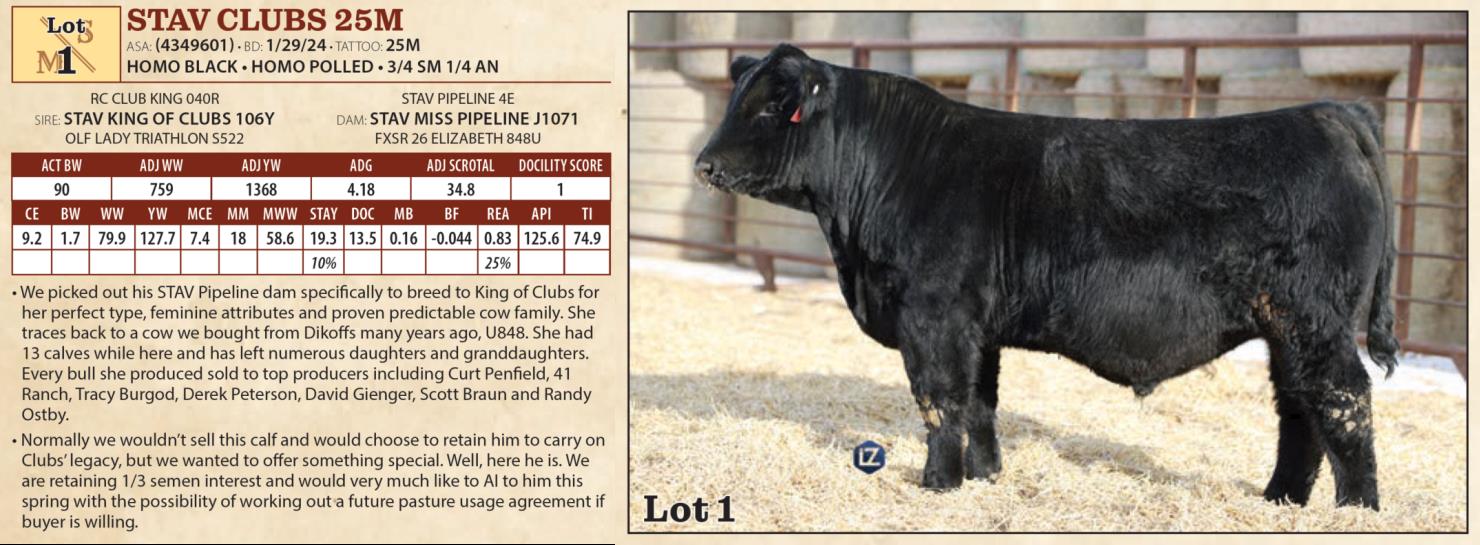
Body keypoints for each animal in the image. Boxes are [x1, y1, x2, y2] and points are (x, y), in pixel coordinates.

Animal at [694, 44, 1398, 510]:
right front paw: (984, 478)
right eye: (737, 99)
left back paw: (1356, 509)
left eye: (771, 108)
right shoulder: (976, 326)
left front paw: (937, 484)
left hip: (1315, 319)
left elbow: (939, 399)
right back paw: (1280, 500)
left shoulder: (934, 314)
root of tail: (1329, 114)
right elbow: (979, 402)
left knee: (1343, 398)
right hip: (1286, 326)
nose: (704, 164)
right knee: (1298, 406)